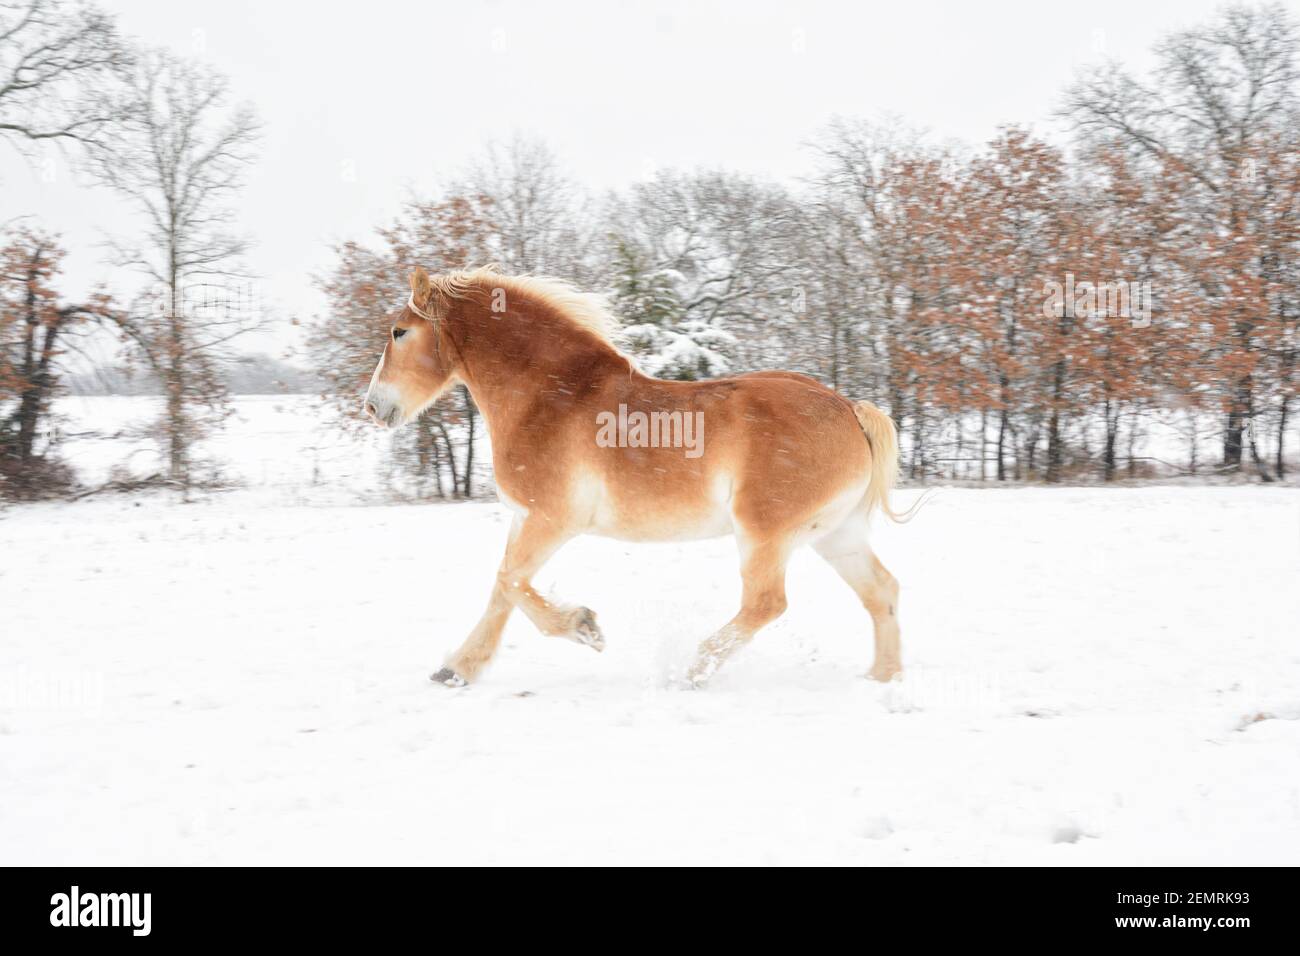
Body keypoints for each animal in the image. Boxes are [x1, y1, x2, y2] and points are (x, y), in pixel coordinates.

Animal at [363, 265, 909, 688]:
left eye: (398, 332)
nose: (372, 406)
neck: (550, 396)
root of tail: (850, 410)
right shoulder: (526, 520)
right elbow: (503, 588)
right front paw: (455, 671)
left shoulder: (552, 521)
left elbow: (511, 581)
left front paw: (584, 627)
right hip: (835, 534)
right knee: (881, 591)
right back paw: (881, 679)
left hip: (764, 533)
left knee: (766, 603)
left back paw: (691, 672)